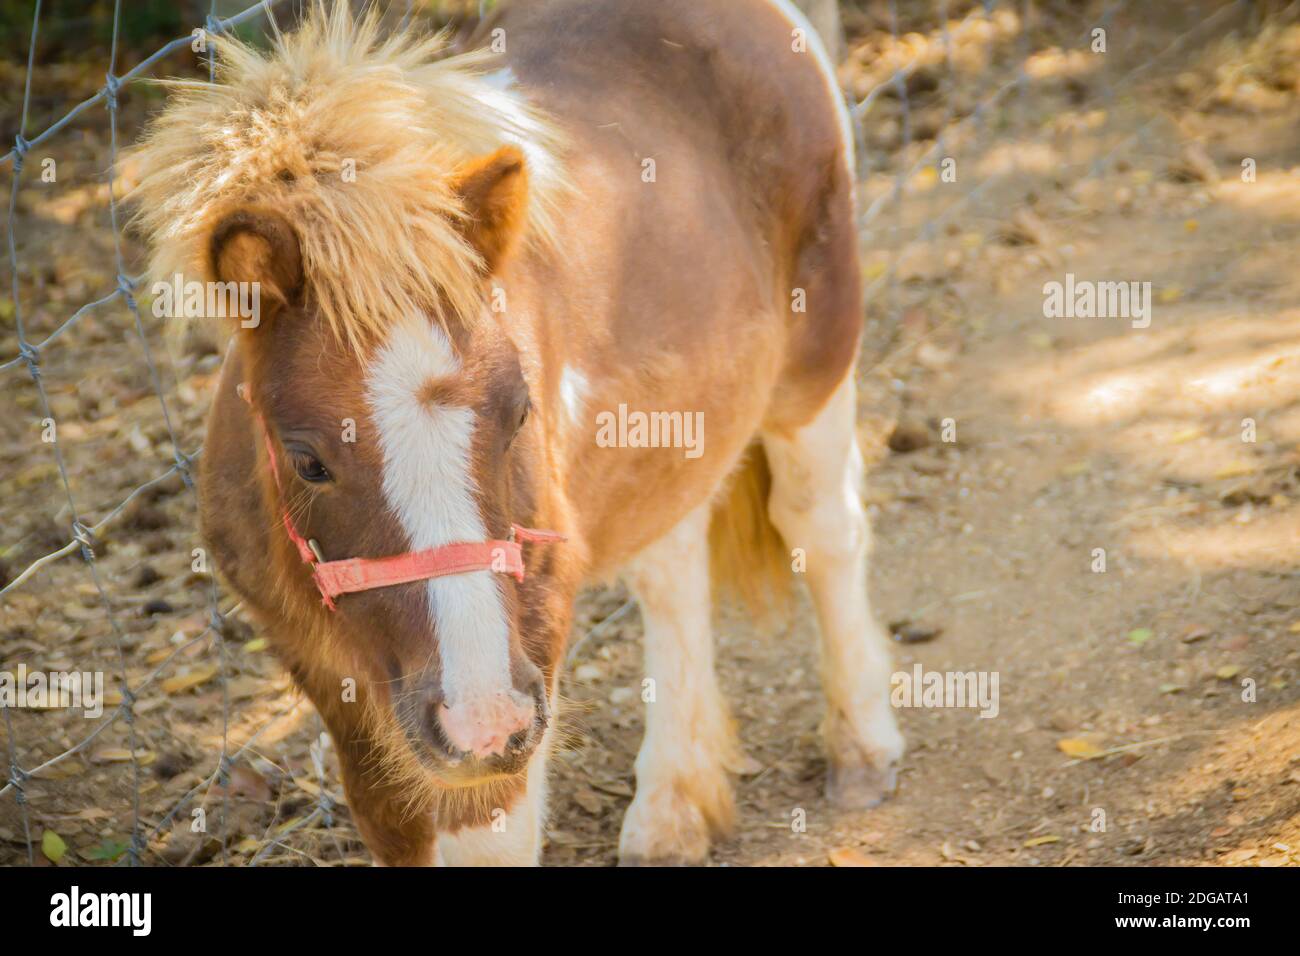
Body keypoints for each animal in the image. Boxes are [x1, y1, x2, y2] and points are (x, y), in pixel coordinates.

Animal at [129, 0, 904, 866]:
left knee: (821, 528)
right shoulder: (337, 688)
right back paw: (673, 807)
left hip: (817, 362)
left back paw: (861, 750)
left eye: (520, 413)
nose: (481, 713)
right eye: (306, 460)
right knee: (671, 562)